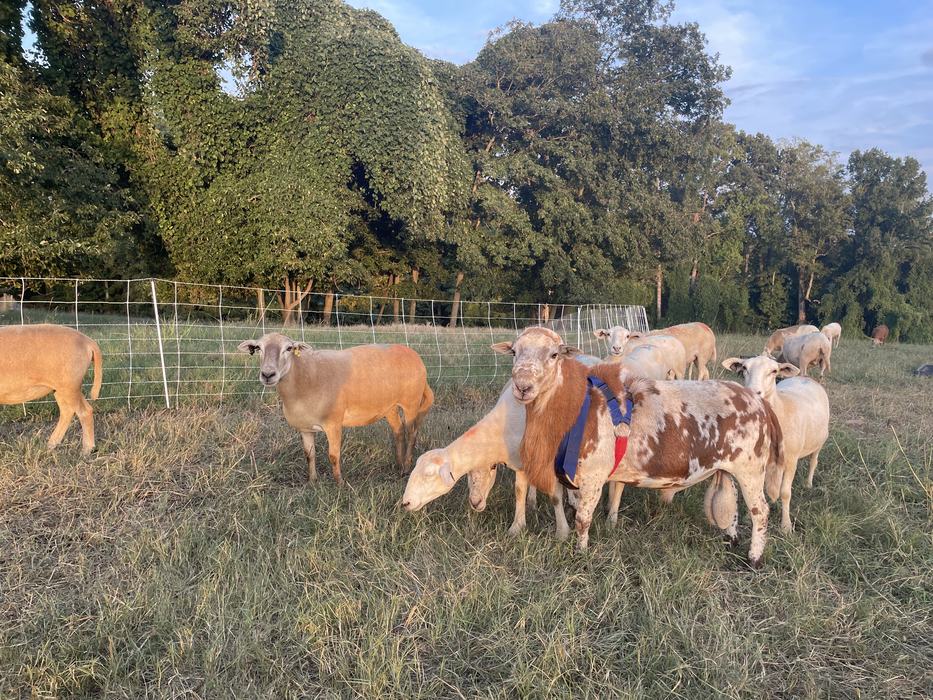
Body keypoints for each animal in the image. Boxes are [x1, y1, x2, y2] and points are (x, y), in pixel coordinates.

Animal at [0, 324, 103, 454]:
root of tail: (88, 341)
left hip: (69, 385)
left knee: (85, 411)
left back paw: (86, 450)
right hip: (63, 388)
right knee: (67, 411)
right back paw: (50, 445)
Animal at [238, 333, 433, 483]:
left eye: (288, 348)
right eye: (258, 348)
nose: (268, 374)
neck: (304, 378)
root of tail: (414, 354)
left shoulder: (333, 423)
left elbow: (333, 455)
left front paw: (339, 483)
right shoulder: (305, 428)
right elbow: (309, 454)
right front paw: (313, 482)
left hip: (411, 401)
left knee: (412, 433)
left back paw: (406, 467)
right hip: (388, 406)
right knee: (398, 431)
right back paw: (398, 466)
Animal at [493, 327, 784, 565]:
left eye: (554, 355)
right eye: (515, 352)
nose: (522, 387)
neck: (574, 406)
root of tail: (758, 402)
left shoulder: (594, 475)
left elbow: (583, 519)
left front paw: (581, 554)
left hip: (751, 469)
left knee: (760, 512)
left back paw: (754, 559)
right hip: (730, 467)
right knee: (731, 504)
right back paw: (730, 541)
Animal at [722, 354, 830, 532]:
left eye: (773, 371)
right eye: (744, 368)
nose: (753, 392)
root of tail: (805, 378)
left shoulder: (791, 460)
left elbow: (785, 493)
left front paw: (786, 526)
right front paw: (749, 517)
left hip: (820, 441)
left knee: (814, 461)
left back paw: (808, 483)